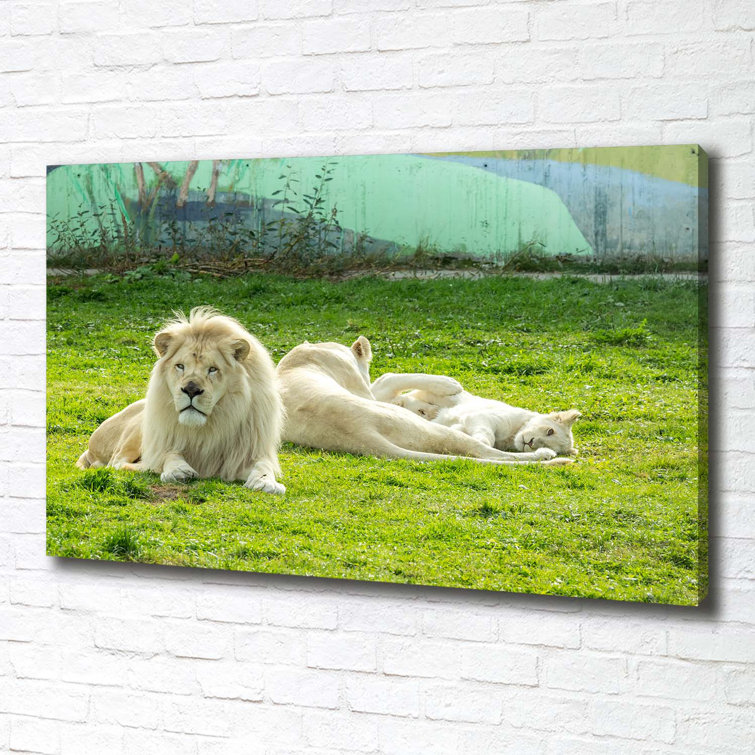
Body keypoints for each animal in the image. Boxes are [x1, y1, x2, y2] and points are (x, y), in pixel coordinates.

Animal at [76, 306, 286, 495]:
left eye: (212, 369)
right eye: (180, 366)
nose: (191, 390)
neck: (209, 426)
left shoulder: (247, 453)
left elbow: (263, 466)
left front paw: (266, 482)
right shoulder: (164, 438)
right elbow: (169, 454)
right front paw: (178, 470)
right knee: (117, 462)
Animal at [276, 336, 572, 467]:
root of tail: (362, 437)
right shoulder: (367, 390)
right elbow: (391, 377)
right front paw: (451, 384)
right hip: (429, 429)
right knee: (484, 451)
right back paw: (546, 455)